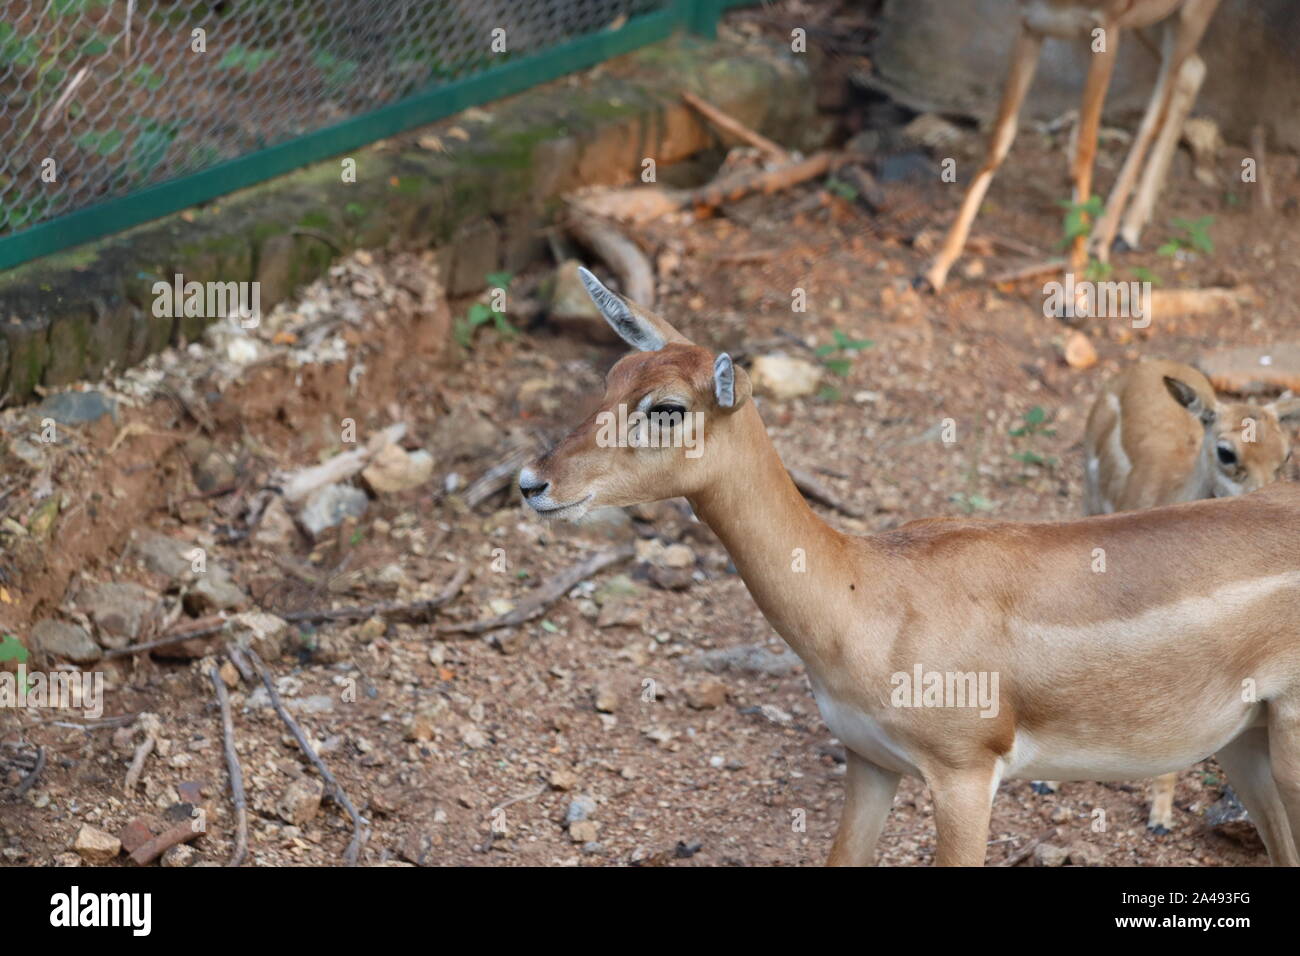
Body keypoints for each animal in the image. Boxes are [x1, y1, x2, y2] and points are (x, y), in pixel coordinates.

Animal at [519, 269, 1300, 866]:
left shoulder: (965, 774)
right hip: (1243, 741)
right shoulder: (869, 761)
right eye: (613, 375)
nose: (532, 482)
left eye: (668, 407)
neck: (864, 596)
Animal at [918, 0, 1222, 293]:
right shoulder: (1030, 24)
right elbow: (999, 138)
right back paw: (1124, 229)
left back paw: (1110, 237)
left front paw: (1074, 291)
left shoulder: (1107, 26)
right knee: (1192, 72)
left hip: (1190, 13)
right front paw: (934, 271)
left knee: (1157, 111)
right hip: (1150, 22)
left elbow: (1084, 148)